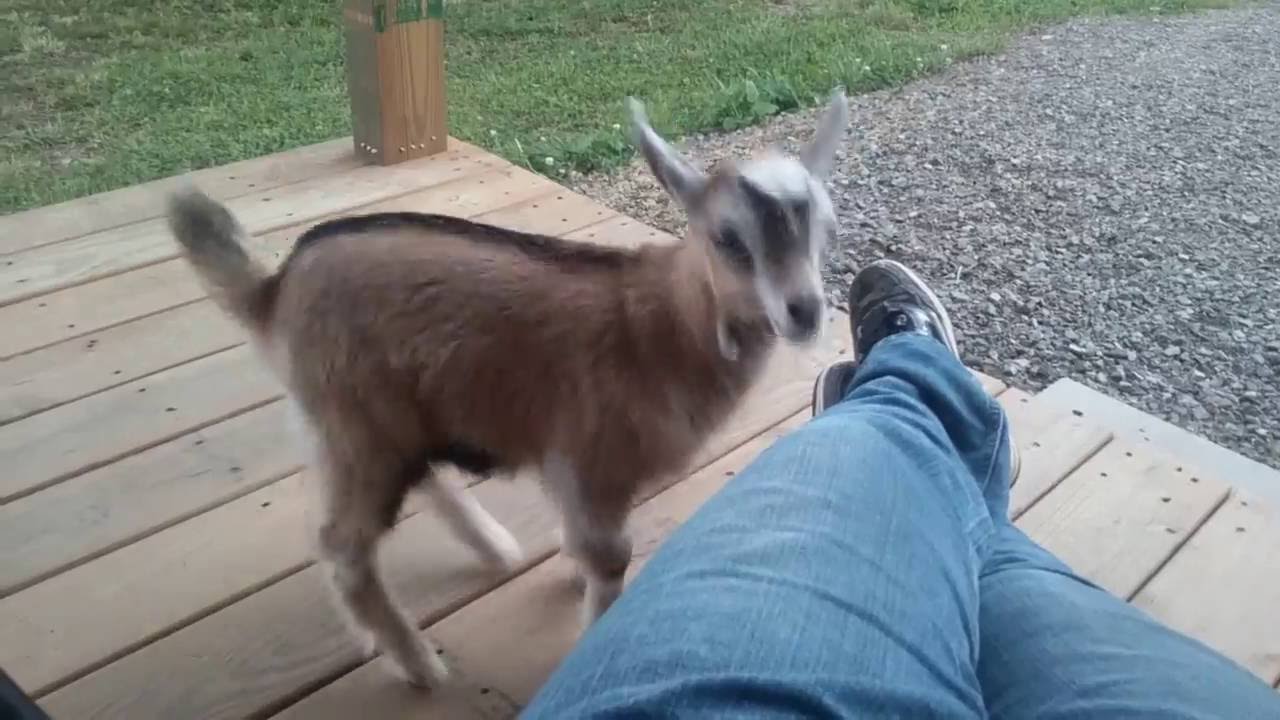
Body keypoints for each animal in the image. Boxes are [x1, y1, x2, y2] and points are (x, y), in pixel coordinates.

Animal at [164, 90, 850, 688]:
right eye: (729, 239)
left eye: (827, 227)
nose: (805, 312)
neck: (657, 326)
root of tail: (272, 292)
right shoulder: (591, 459)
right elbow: (609, 555)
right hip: (353, 418)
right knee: (342, 545)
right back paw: (421, 667)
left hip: (381, 417)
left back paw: (493, 548)